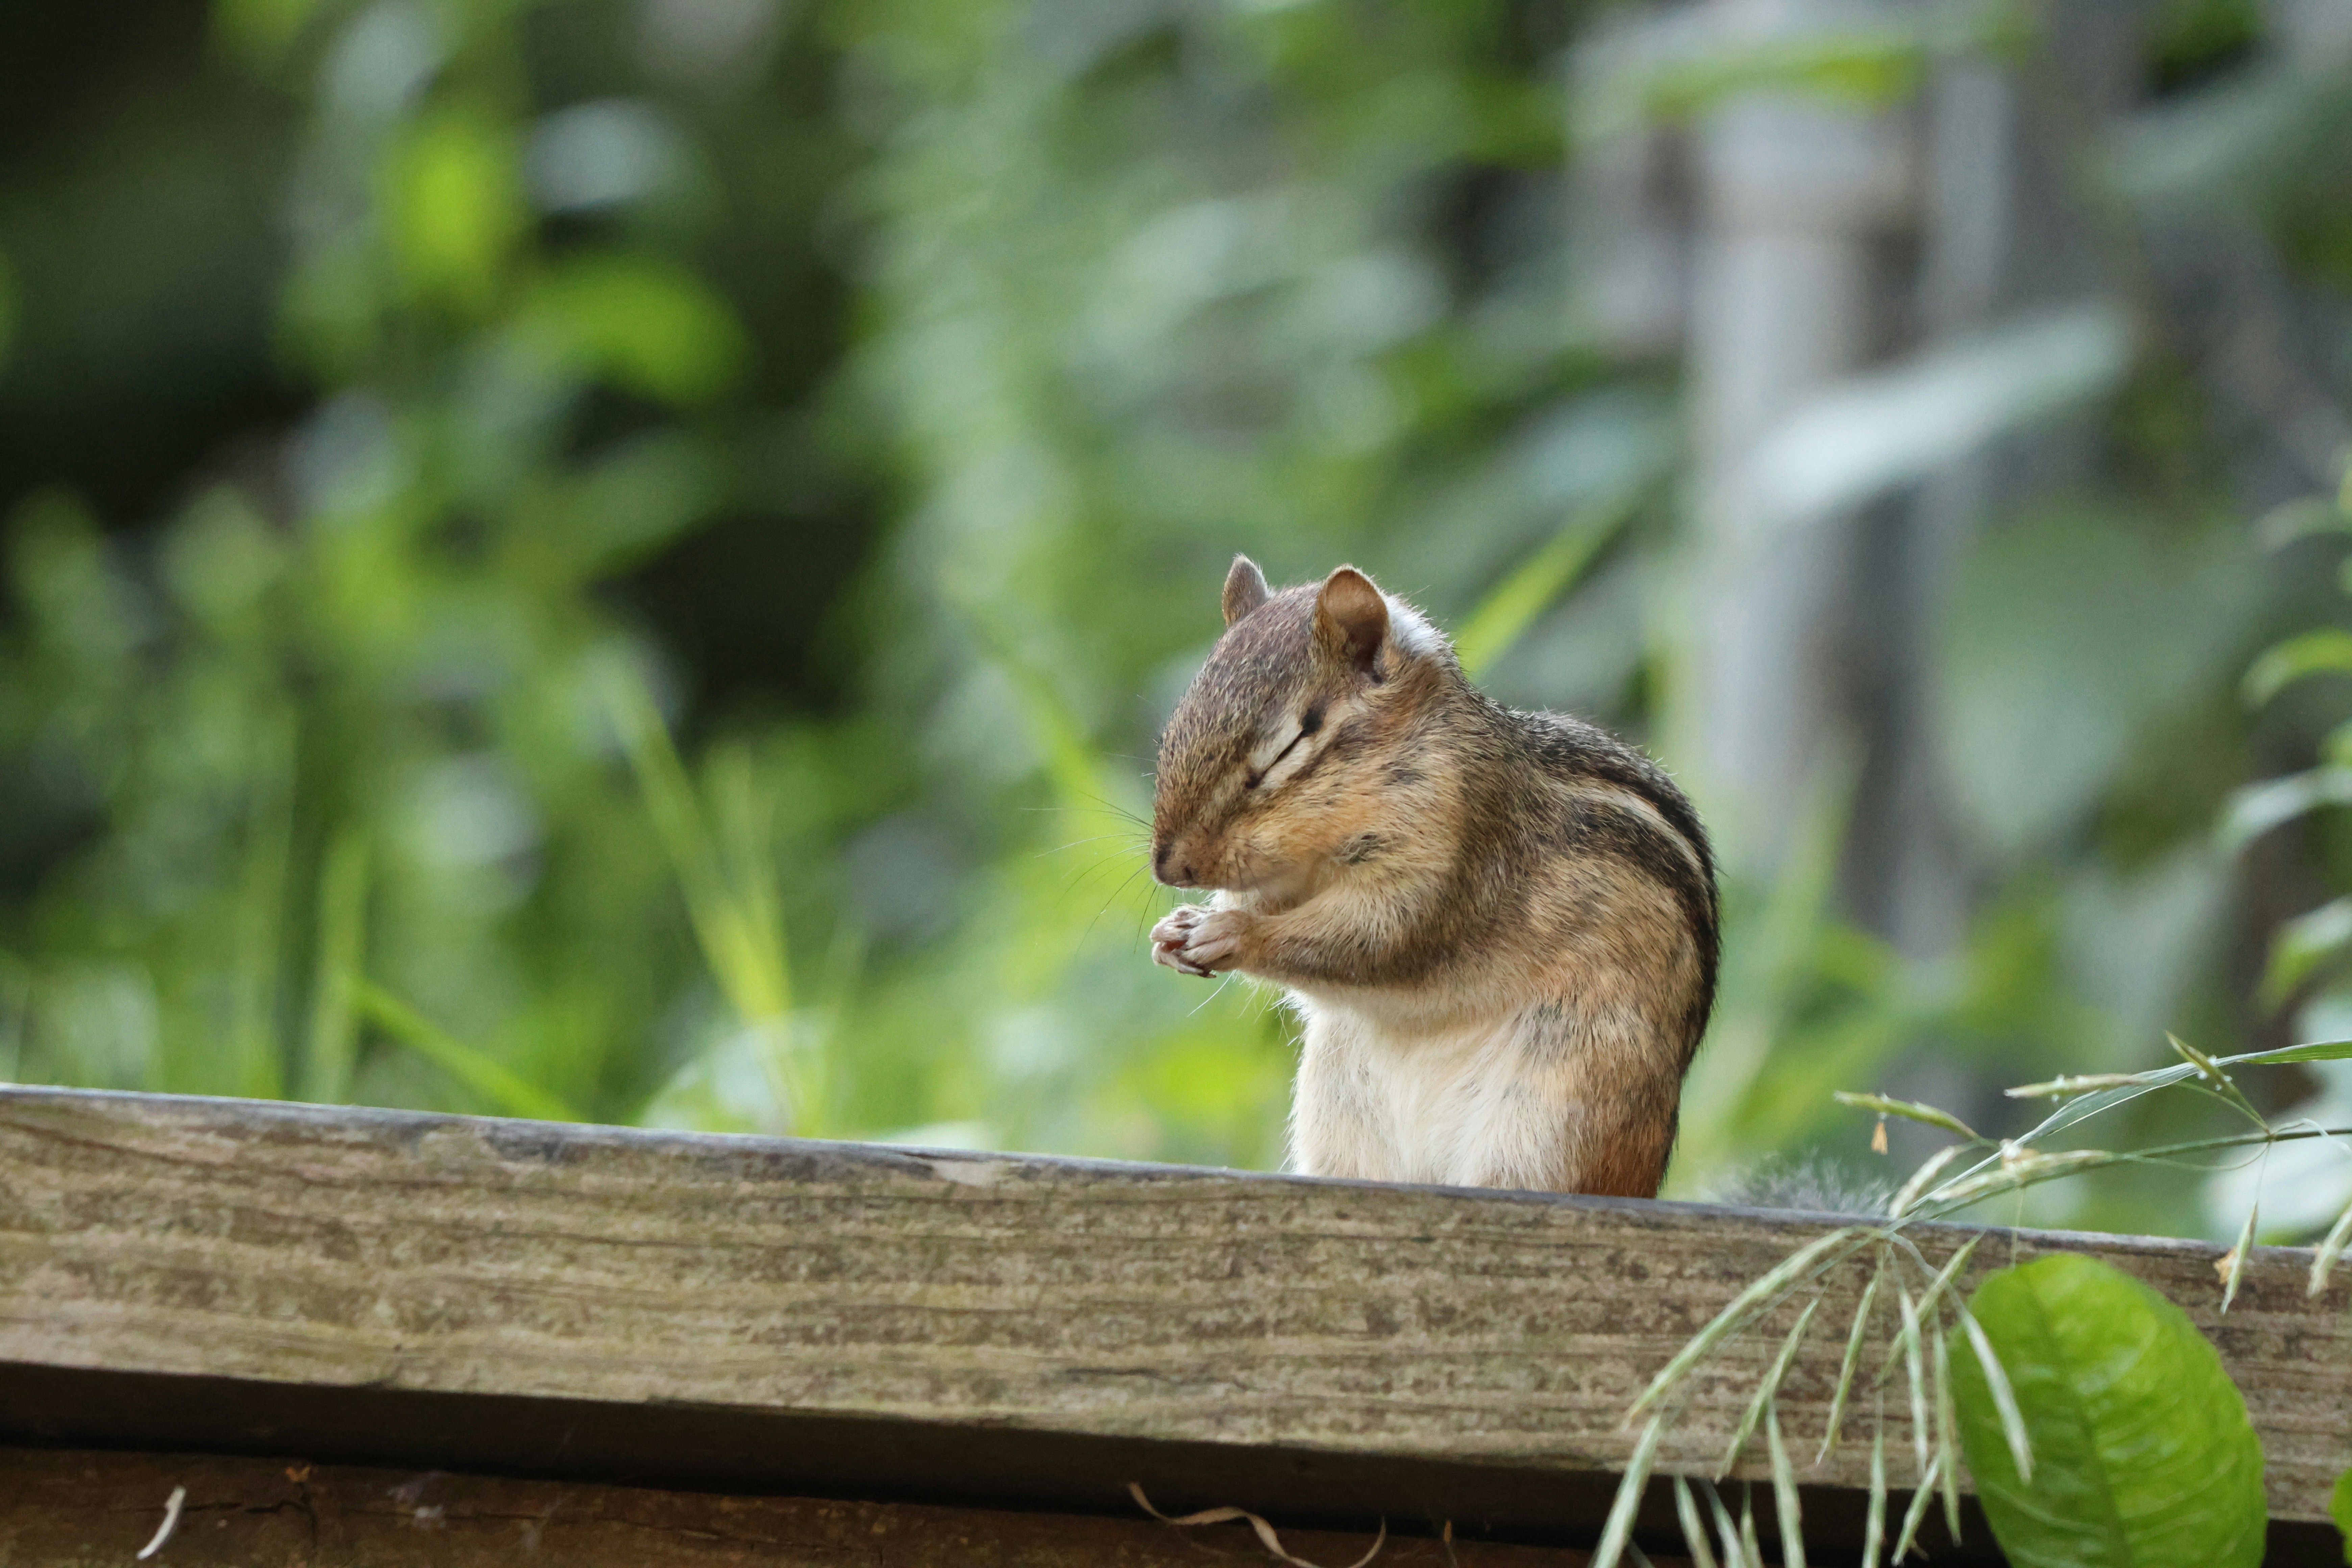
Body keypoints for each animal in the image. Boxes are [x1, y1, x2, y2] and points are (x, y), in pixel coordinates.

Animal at [1148, 557, 1719, 1199]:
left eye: (1287, 748)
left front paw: (1231, 934)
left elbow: (1380, 940)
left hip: (1557, 1109)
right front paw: (1176, 931)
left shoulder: (1457, 859)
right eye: (1174, 730)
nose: (1169, 867)